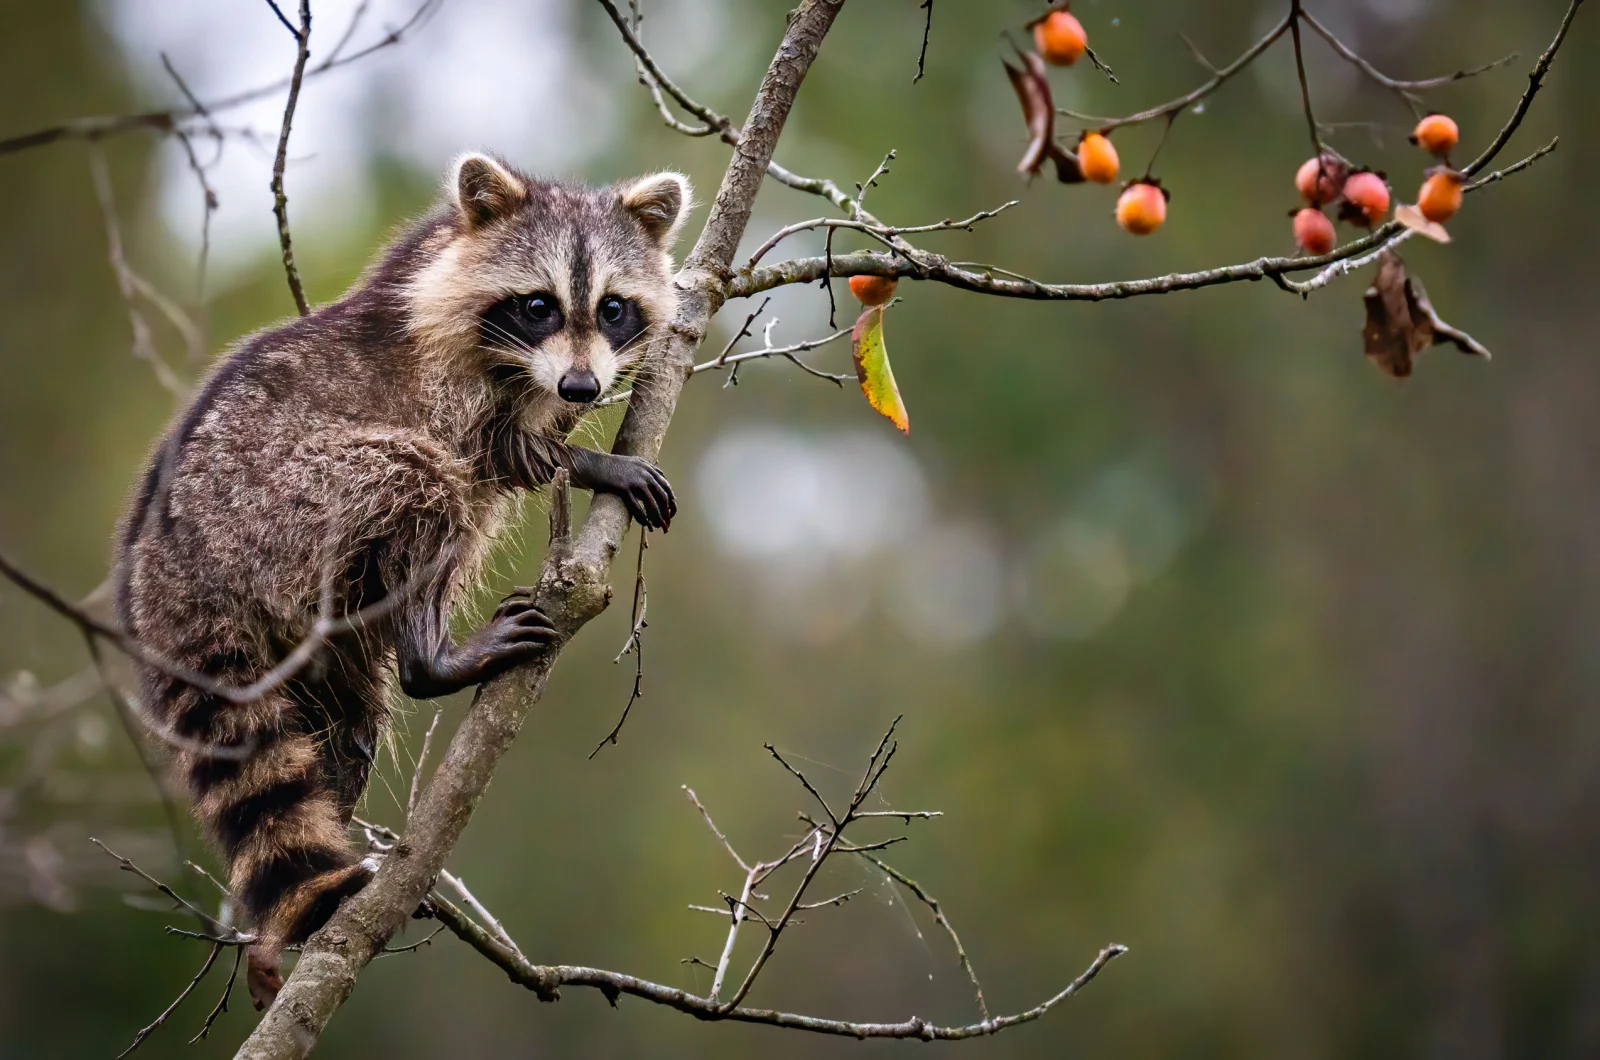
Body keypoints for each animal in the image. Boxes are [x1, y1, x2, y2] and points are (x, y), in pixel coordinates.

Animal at [112, 154, 689, 1008]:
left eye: (613, 308)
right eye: (539, 306)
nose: (583, 389)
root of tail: (168, 569)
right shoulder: (443, 374)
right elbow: (495, 451)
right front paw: (587, 460)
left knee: (342, 734)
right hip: (279, 506)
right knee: (418, 479)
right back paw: (431, 656)